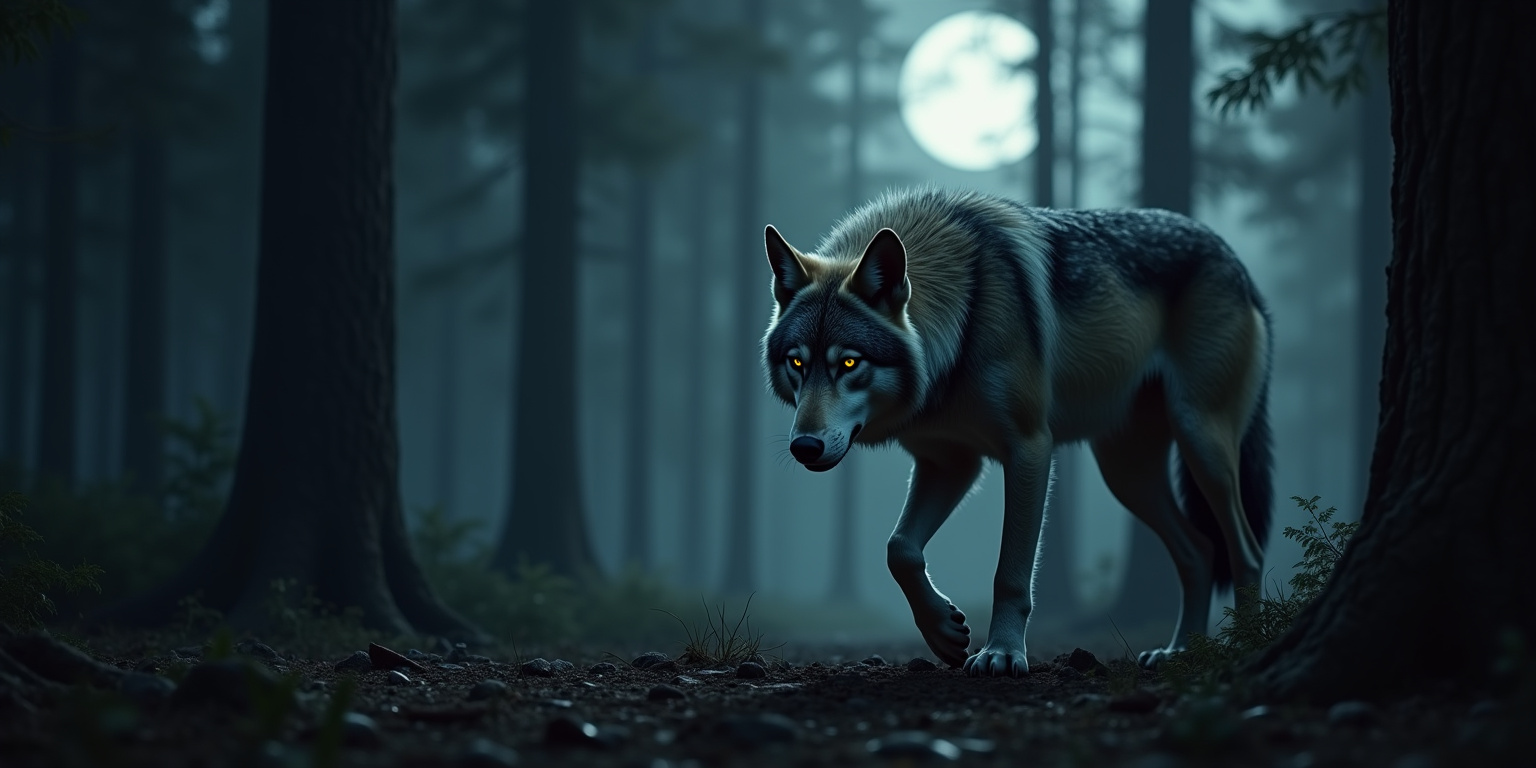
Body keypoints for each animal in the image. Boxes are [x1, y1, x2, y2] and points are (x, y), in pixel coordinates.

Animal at [760, 187, 1273, 677]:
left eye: (849, 363)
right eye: (797, 364)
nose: (805, 447)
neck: (960, 328)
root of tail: (1235, 261)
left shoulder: (1029, 449)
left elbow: (1010, 573)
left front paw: (1002, 654)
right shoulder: (949, 462)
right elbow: (899, 549)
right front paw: (944, 632)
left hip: (1201, 442)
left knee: (1245, 550)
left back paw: (1244, 644)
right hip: (1127, 475)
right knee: (1200, 550)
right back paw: (1180, 651)